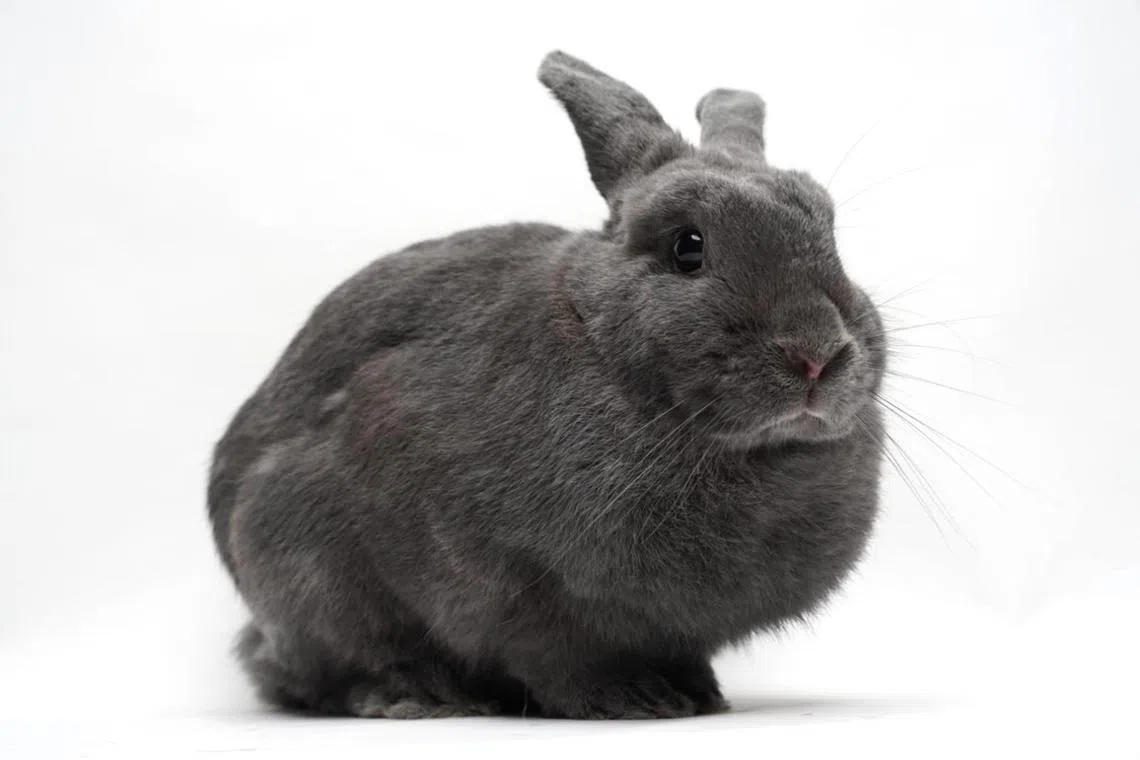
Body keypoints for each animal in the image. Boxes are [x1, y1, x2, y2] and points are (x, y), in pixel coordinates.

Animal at [207, 50, 887, 720]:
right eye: (688, 247)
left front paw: (697, 694)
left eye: (829, 236)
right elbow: (552, 658)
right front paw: (632, 700)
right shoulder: (509, 586)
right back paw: (420, 695)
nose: (816, 355)